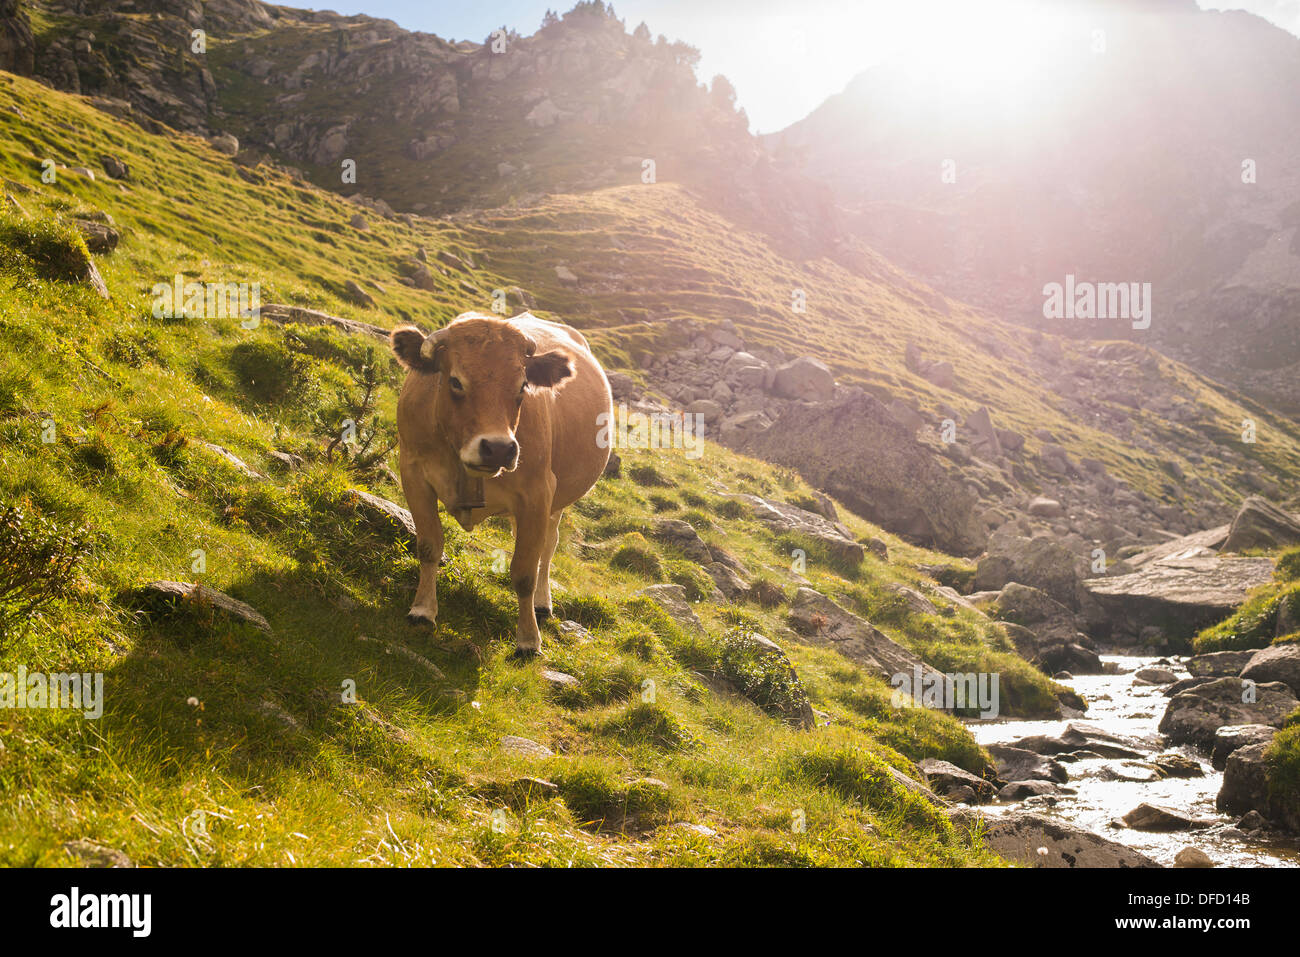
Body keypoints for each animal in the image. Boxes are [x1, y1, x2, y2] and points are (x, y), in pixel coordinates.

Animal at [389, 311, 613, 657]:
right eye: (455, 381)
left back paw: (541, 605)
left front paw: (528, 640)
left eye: (522, 386)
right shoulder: (413, 473)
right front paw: (423, 610)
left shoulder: (537, 493)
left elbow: (524, 573)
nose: (497, 448)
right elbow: (428, 546)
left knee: (547, 548)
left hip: (556, 502)